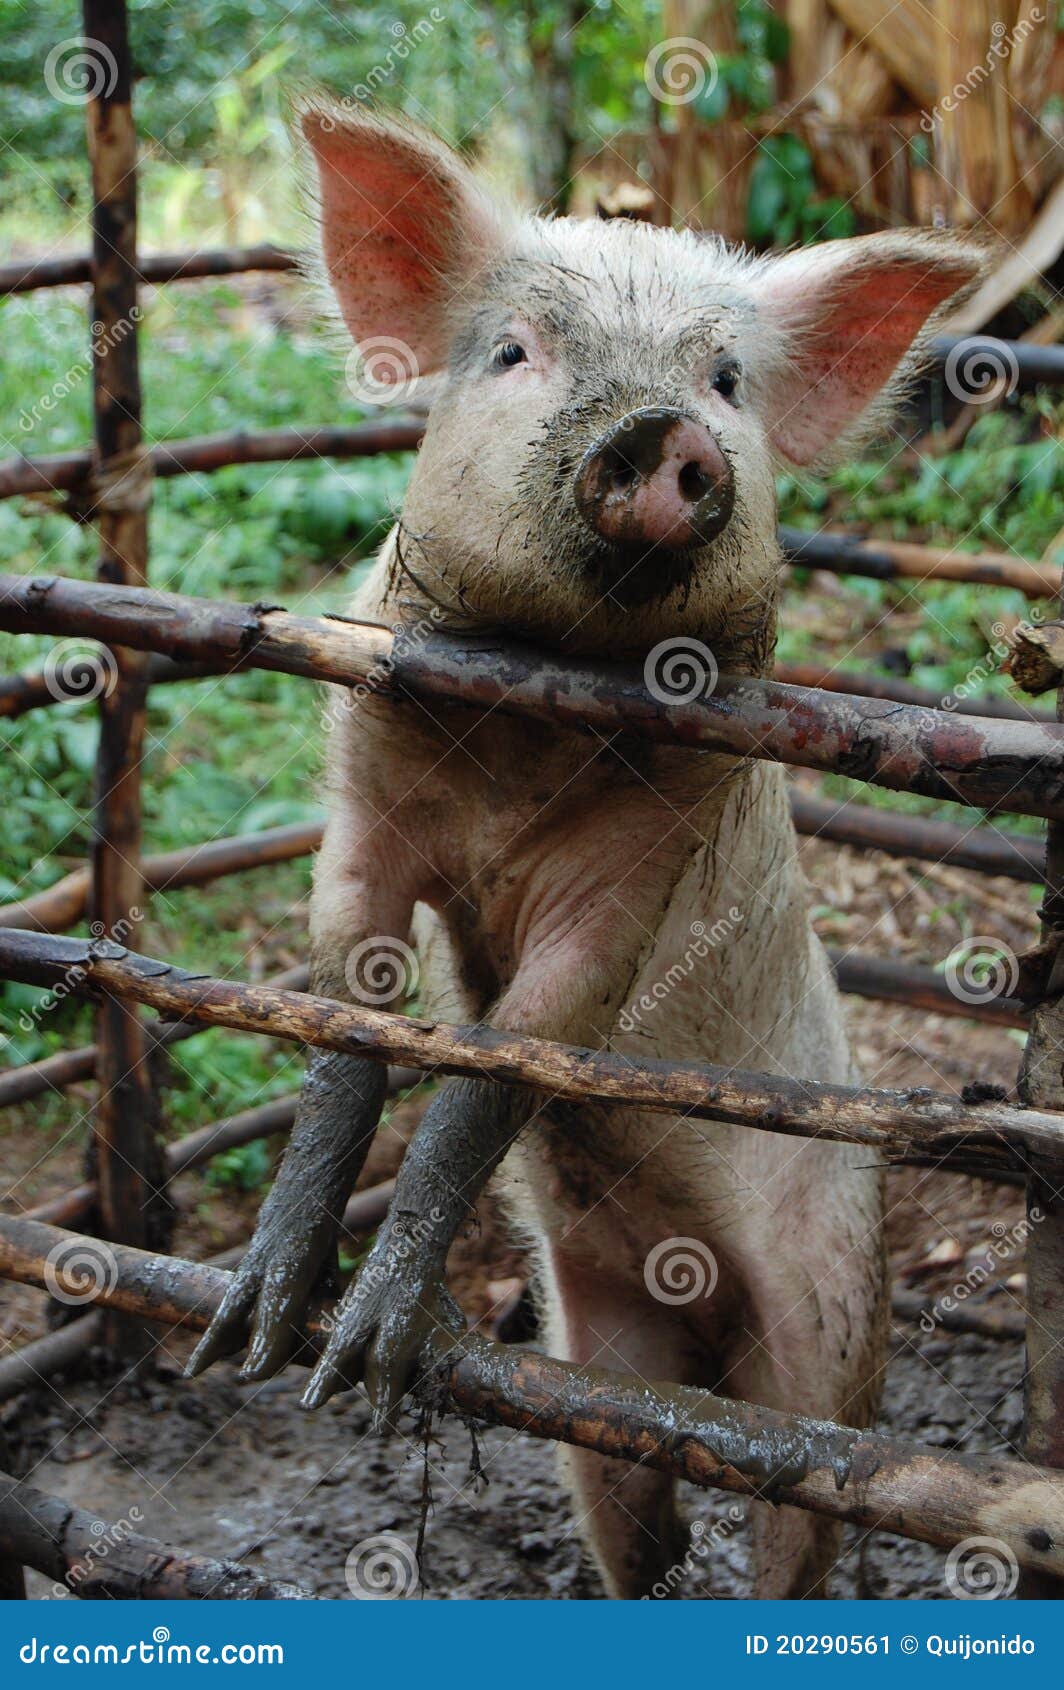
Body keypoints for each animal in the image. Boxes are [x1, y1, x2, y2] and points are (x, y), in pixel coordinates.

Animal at [188, 103, 986, 1598]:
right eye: (513, 350)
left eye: (725, 378)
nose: (659, 429)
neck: (524, 737)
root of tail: (700, 1307)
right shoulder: (365, 804)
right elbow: (347, 1021)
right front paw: (254, 1344)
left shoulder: (638, 859)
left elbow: (511, 1052)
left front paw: (360, 1368)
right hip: (598, 1332)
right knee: (639, 1511)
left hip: (831, 1314)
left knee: (796, 1520)